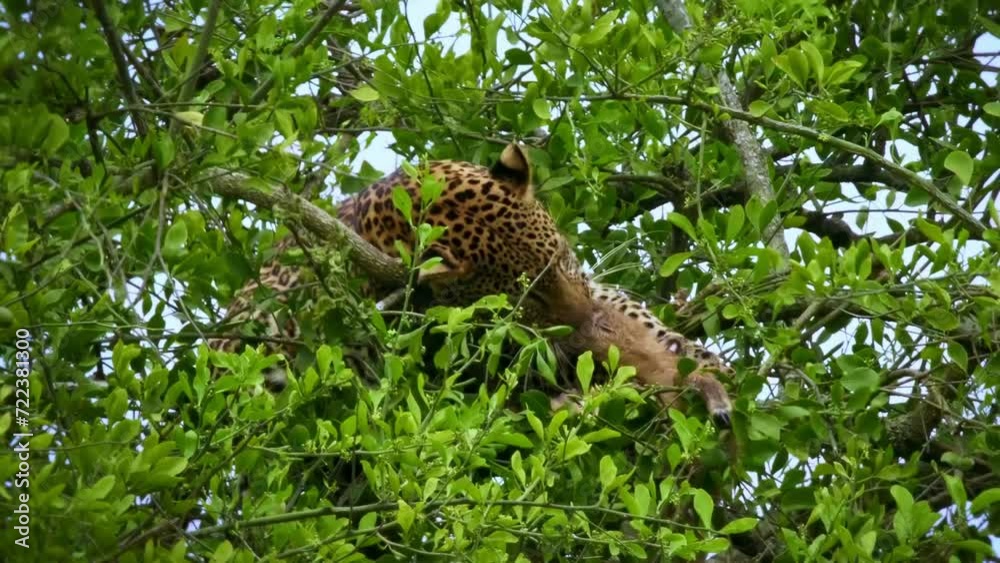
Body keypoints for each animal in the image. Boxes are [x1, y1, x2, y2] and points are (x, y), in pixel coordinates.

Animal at [207, 144, 732, 425]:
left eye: (562, 258)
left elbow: (637, 316)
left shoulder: (590, 288)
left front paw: (699, 366)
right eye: (526, 298)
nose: (591, 330)